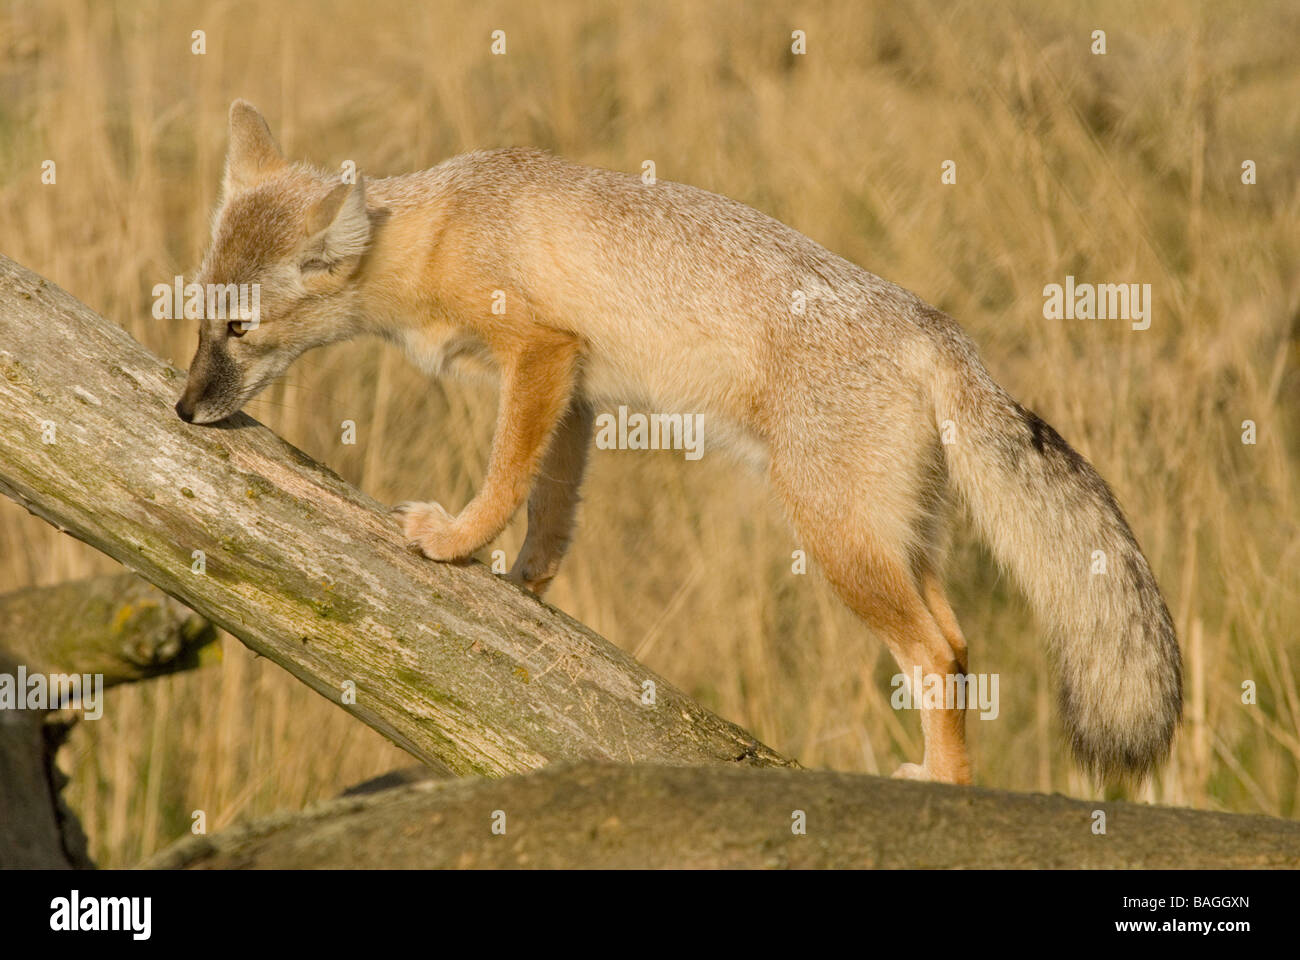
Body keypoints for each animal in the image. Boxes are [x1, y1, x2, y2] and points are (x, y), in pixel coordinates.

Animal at [176, 100, 1182, 786]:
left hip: (839, 543)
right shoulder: (577, 390)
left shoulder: (539, 353)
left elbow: (505, 477)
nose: (184, 409)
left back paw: (944, 785)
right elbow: (550, 509)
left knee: (935, 653)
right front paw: (524, 582)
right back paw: (944, 780)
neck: (434, 230)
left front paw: (457, 540)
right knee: (963, 646)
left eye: (239, 328)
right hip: (895, 542)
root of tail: (938, 329)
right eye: (198, 315)